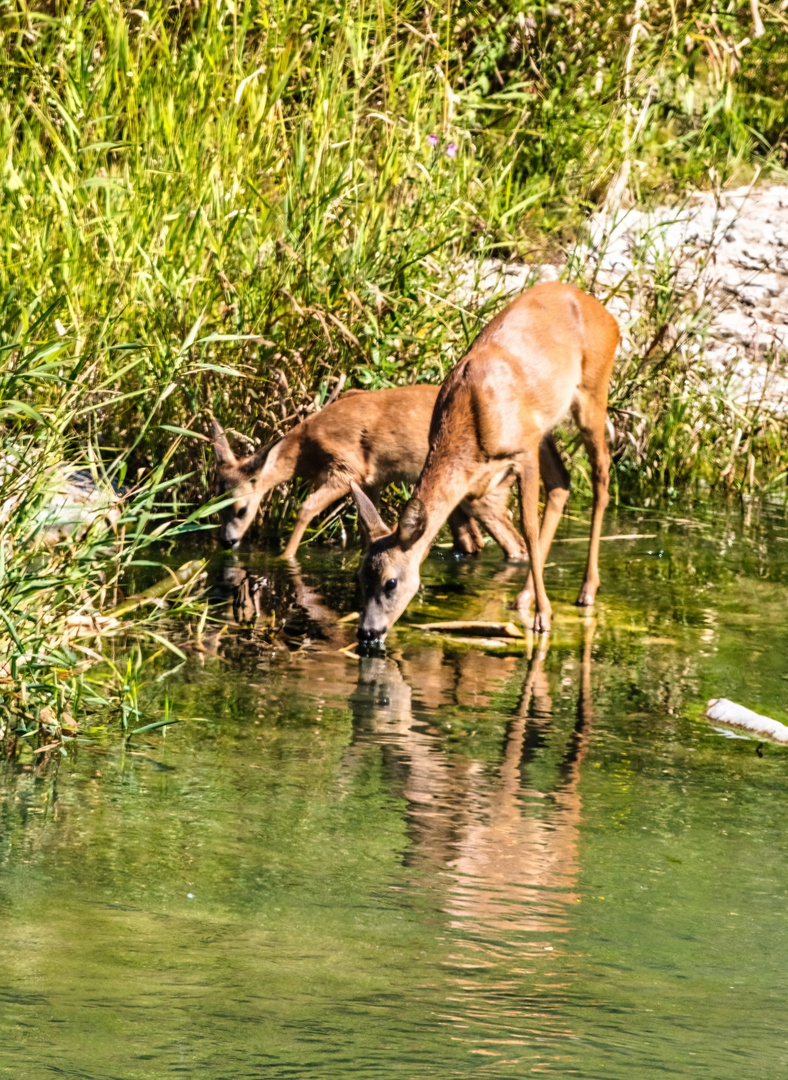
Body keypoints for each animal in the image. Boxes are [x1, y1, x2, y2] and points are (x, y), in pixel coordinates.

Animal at [208, 382, 528, 557]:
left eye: (241, 509)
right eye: (213, 503)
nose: (226, 541)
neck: (306, 451)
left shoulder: (347, 468)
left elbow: (306, 508)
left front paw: (285, 557)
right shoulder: (373, 481)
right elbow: (367, 526)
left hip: (480, 491)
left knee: (514, 542)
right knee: (473, 541)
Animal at [351, 282, 621, 643]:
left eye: (390, 582)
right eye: (360, 577)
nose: (367, 632)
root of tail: (608, 317)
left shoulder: (524, 452)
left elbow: (528, 527)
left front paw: (544, 617)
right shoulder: (517, 448)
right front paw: (536, 607)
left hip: (592, 392)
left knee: (601, 478)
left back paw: (586, 590)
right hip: (544, 426)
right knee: (562, 483)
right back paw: (524, 597)